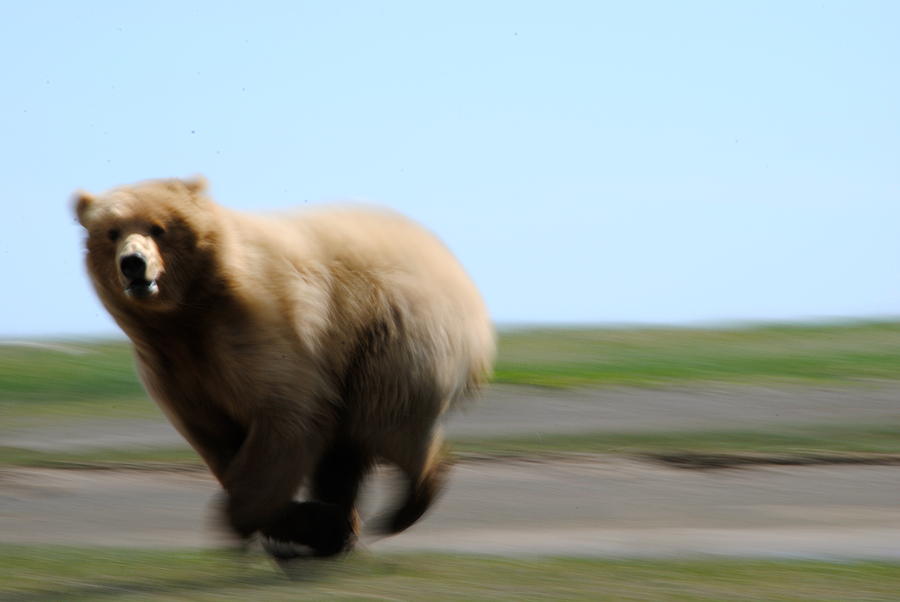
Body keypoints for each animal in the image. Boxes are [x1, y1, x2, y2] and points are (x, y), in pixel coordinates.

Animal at [73, 176, 494, 557]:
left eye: (158, 228)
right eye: (111, 232)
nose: (133, 263)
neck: (190, 313)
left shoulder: (257, 330)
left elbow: (285, 418)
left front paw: (265, 521)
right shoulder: (174, 366)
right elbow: (214, 437)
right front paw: (312, 524)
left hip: (390, 335)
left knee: (383, 421)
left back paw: (406, 504)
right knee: (348, 448)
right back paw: (344, 522)